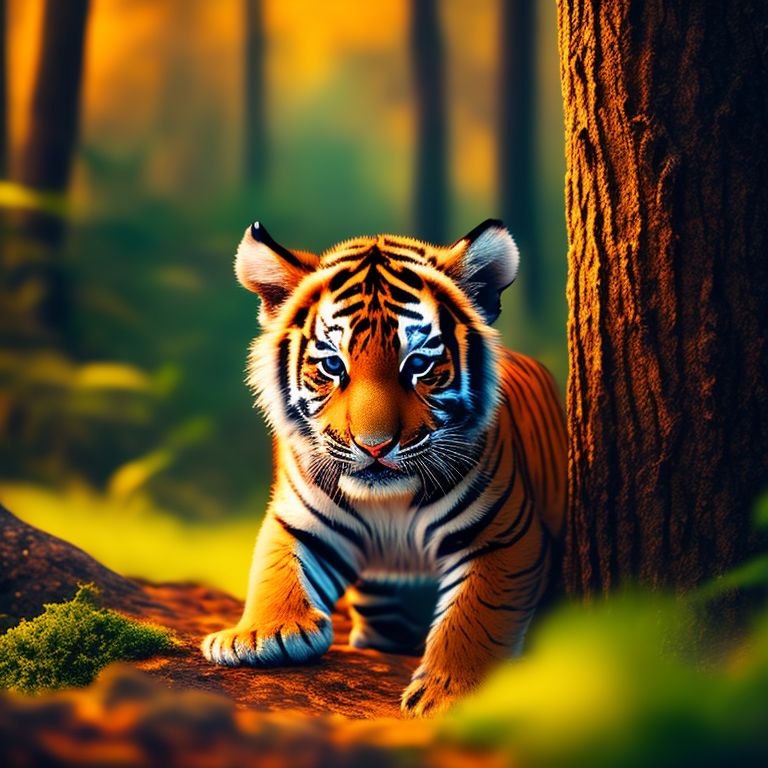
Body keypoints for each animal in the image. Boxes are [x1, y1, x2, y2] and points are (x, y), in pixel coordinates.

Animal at [201, 219, 567, 717]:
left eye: (419, 364)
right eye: (332, 364)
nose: (374, 446)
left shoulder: (502, 533)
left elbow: (477, 615)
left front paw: (456, 692)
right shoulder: (299, 517)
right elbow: (274, 567)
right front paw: (261, 634)